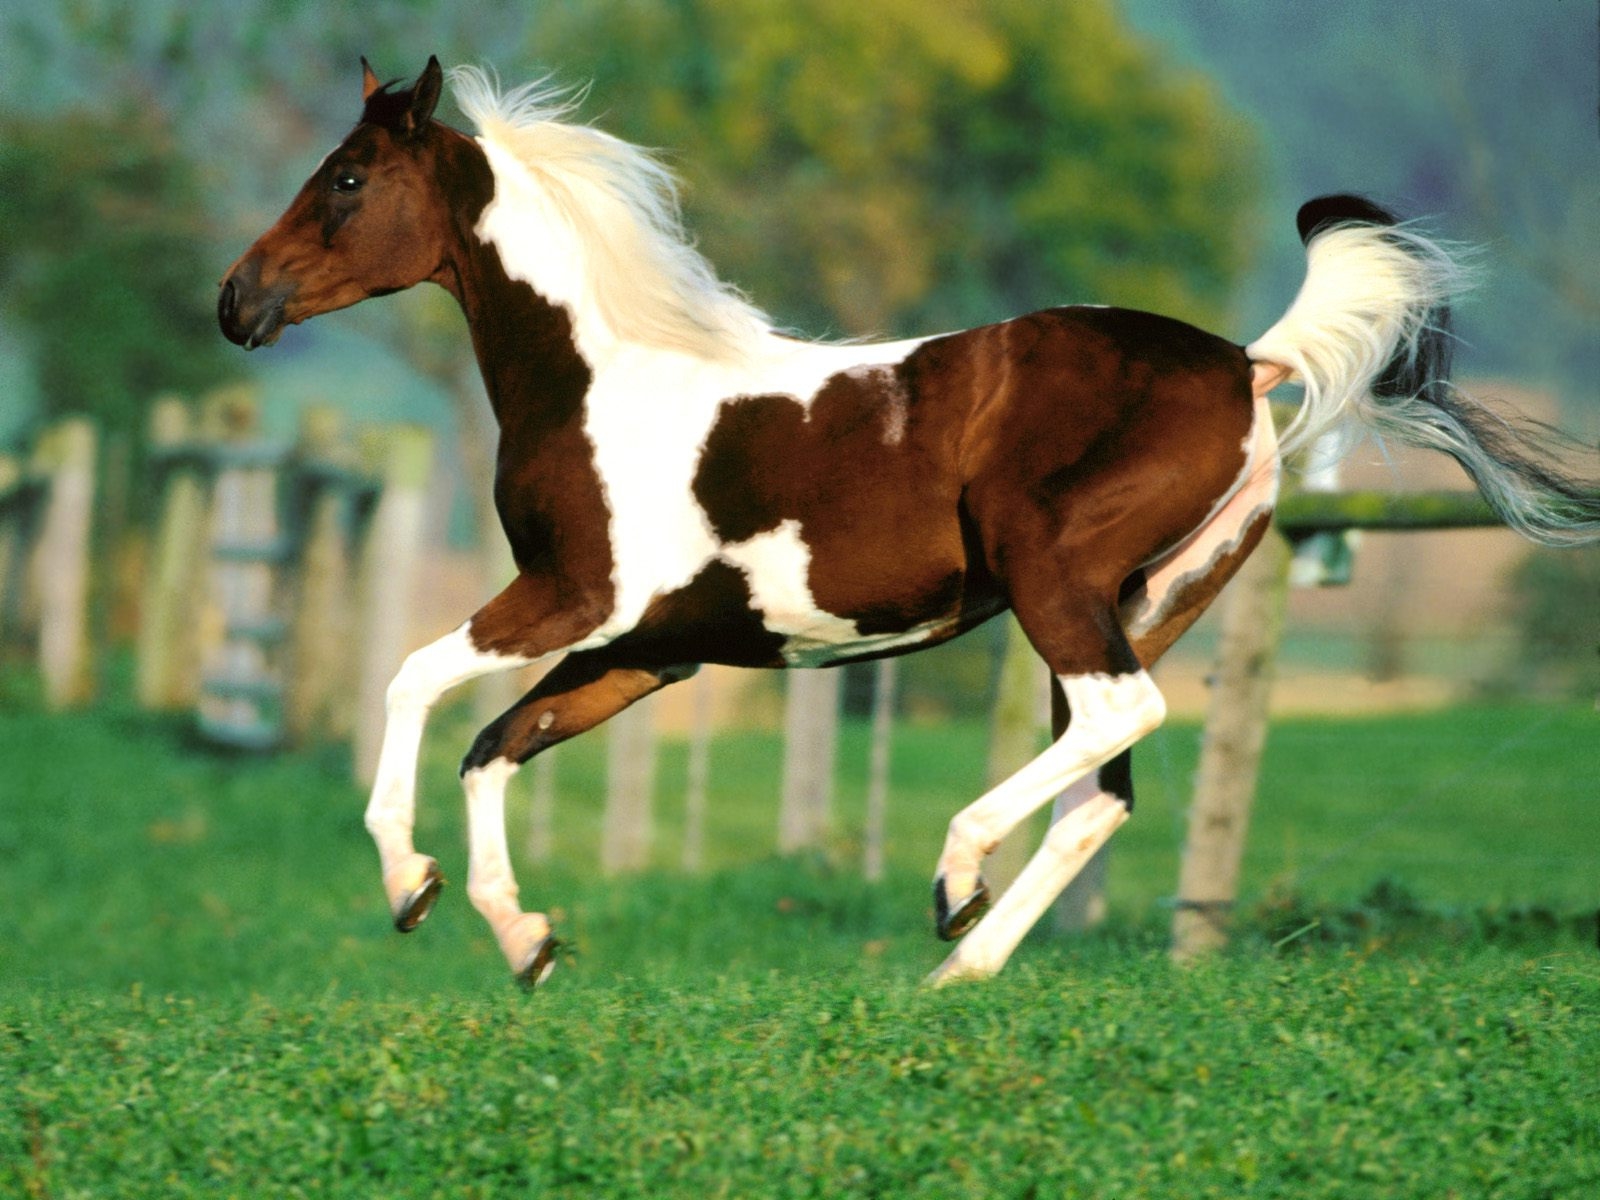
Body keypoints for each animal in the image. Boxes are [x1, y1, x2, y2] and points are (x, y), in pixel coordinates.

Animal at [219, 57, 1600, 988]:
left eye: (346, 178)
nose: (237, 301)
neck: (598, 378)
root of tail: (1240, 363)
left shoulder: (572, 600)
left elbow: (412, 683)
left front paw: (408, 888)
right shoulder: (644, 651)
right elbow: (495, 746)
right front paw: (525, 939)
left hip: (1053, 578)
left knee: (1116, 724)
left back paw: (953, 879)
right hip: (1141, 601)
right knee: (1103, 784)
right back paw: (958, 968)